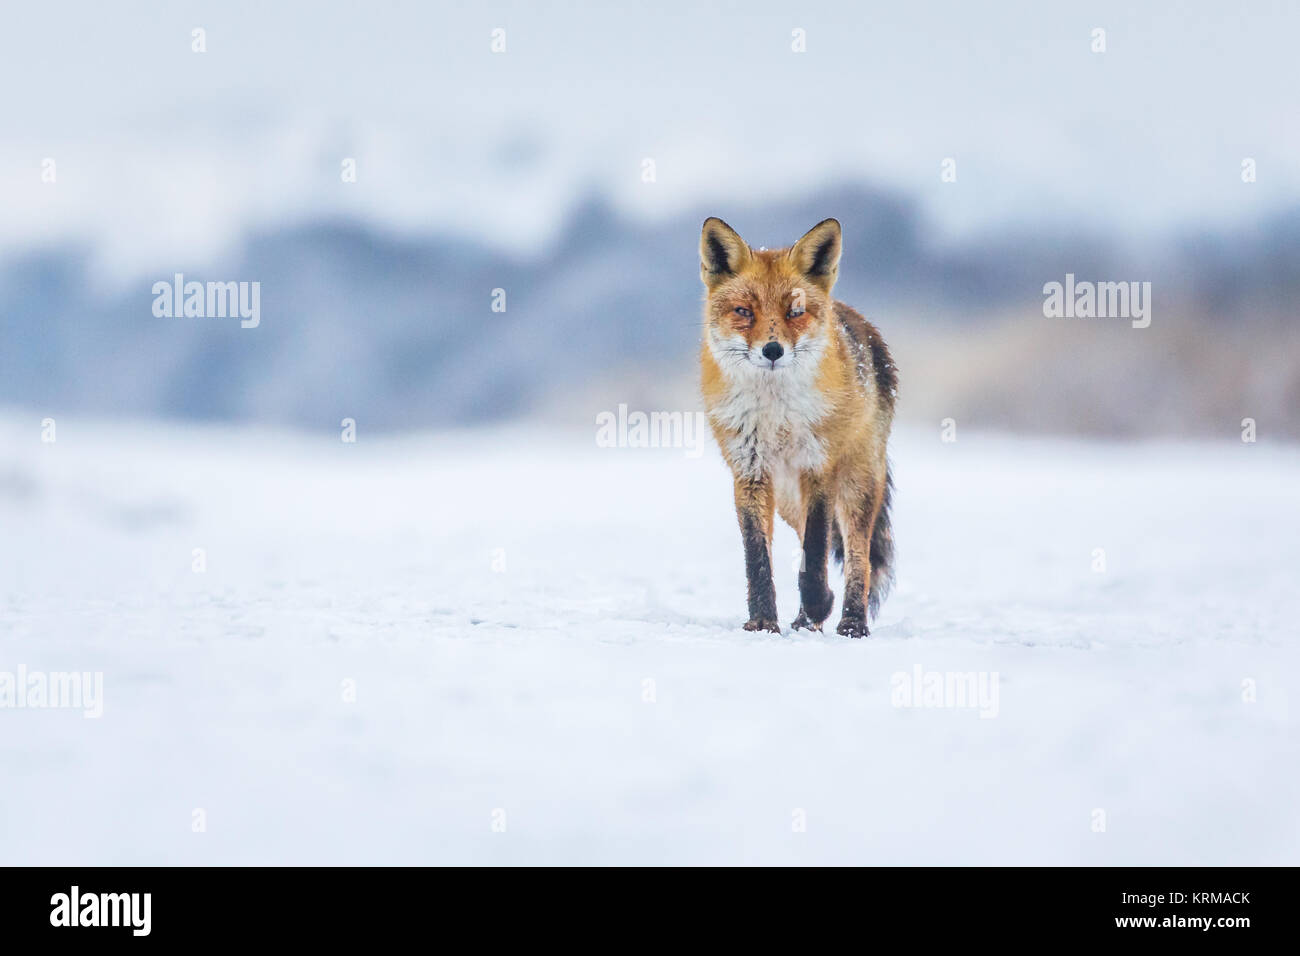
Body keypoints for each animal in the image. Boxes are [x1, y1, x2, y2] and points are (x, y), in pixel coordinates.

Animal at [698, 217, 897, 637]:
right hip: (789, 499)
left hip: (857, 482)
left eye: (796, 312)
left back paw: (850, 621)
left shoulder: (818, 464)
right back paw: (808, 620)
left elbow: (818, 547)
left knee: (858, 553)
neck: (776, 417)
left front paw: (821, 603)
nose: (772, 350)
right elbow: (758, 556)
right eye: (744, 311)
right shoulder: (750, 470)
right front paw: (762, 622)